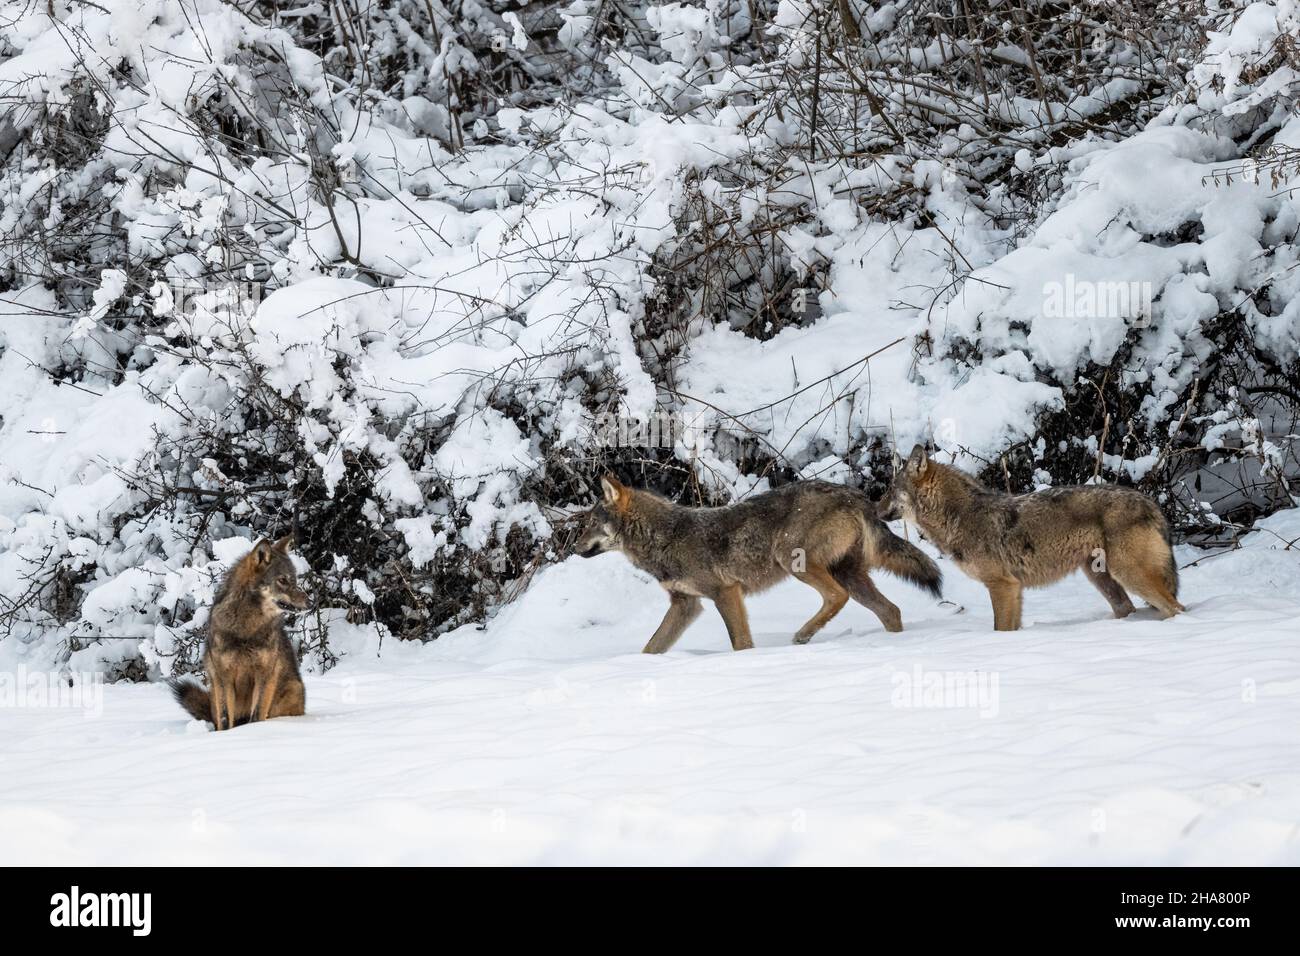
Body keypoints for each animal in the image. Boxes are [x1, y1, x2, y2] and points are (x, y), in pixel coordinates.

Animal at [171, 535, 309, 729]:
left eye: (295, 580)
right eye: (282, 580)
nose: (310, 602)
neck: (246, 629)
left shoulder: (264, 675)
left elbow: (257, 714)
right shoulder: (223, 679)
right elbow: (224, 718)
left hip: (289, 691)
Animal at [574, 475, 942, 652]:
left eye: (590, 523)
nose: (575, 549)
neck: (665, 536)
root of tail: (856, 495)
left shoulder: (726, 593)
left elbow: (741, 643)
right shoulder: (686, 605)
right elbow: (650, 648)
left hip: (794, 560)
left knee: (838, 597)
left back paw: (802, 636)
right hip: (849, 574)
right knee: (890, 611)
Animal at [879, 445, 1185, 630]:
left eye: (890, 489)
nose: (873, 508)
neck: (959, 515)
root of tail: (1151, 503)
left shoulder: (1001, 585)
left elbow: (999, 628)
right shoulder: (1014, 588)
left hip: (1127, 574)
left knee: (1175, 607)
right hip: (1101, 578)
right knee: (1133, 608)